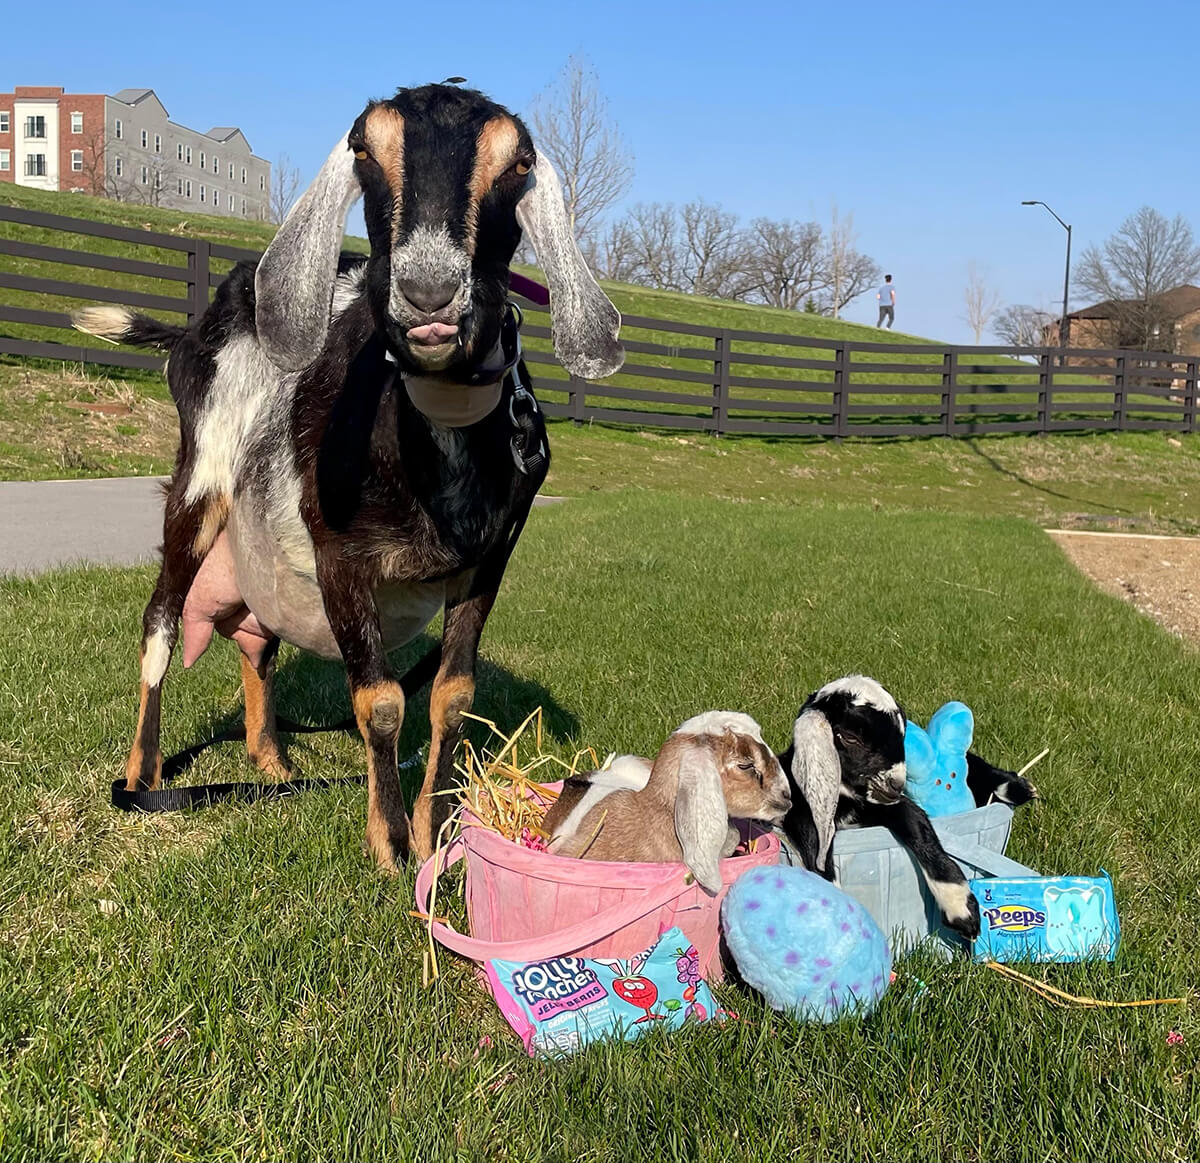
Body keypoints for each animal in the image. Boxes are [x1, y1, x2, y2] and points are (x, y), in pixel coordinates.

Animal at [73, 83, 623, 869]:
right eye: (365, 149)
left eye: (518, 162)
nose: (429, 292)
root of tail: (199, 323)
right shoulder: (339, 555)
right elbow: (381, 700)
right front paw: (390, 843)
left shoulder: (490, 561)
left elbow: (452, 694)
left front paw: (435, 831)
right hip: (201, 480)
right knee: (161, 620)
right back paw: (142, 772)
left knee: (258, 641)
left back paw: (271, 761)